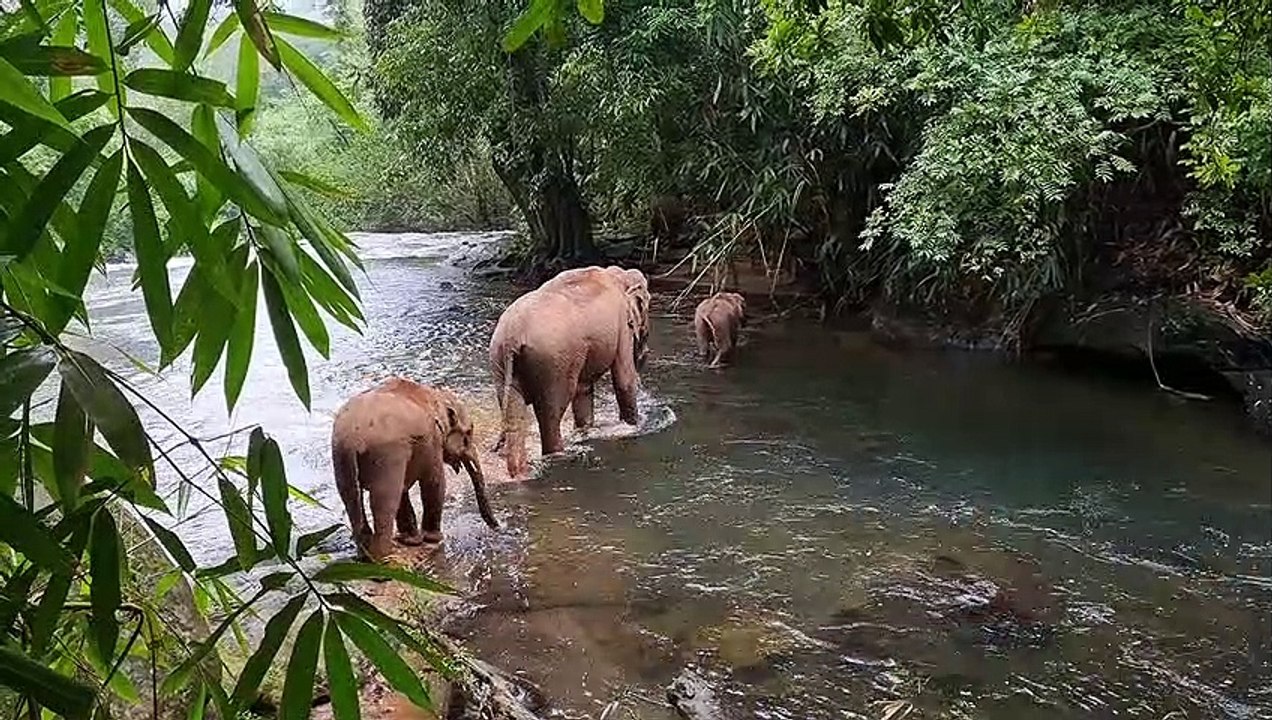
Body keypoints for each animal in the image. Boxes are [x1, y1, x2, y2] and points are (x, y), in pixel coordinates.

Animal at [331, 377, 499, 561]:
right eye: (468, 434)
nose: (498, 526)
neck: (435, 396)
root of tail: (352, 438)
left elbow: (405, 489)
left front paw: (411, 541)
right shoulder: (432, 442)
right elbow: (435, 483)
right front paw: (434, 539)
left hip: (341, 456)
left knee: (351, 498)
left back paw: (365, 556)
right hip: (385, 454)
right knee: (384, 500)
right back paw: (382, 557)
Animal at [489, 265, 652, 478]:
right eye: (648, 304)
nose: (645, 353)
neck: (617, 274)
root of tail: (512, 338)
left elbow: (583, 390)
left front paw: (586, 430)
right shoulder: (623, 326)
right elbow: (624, 379)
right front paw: (635, 426)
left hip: (501, 363)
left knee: (514, 416)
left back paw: (521, 472)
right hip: (553, 363)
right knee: (551, 413)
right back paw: (559, 455)